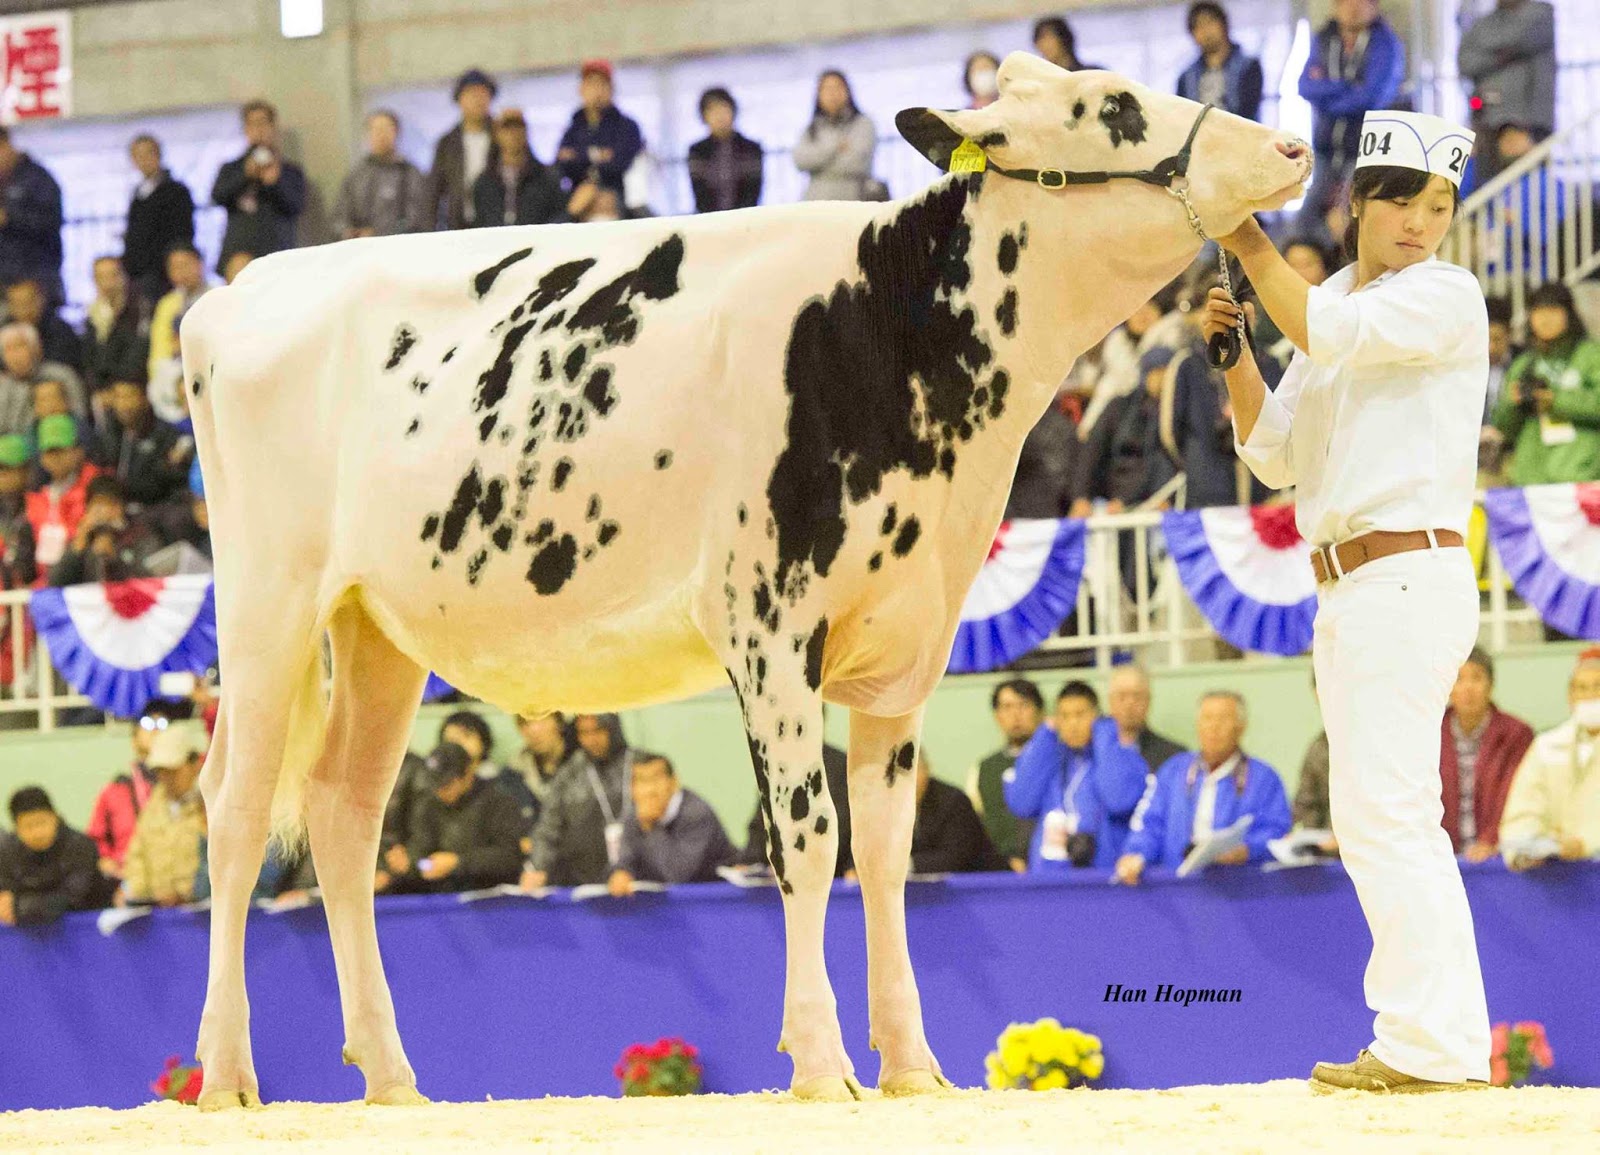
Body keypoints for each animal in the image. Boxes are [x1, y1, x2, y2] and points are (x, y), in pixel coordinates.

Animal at [181, 52, 1309, 1109]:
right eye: (1113, 105)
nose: (1291, 147)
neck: (892, 334)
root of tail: (239, 289)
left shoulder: (910, 637)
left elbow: (886, 850)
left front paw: (912, 1066)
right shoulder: (769, 625)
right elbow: (808, 839)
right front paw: (820, 1062)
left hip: (376, 628)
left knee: (343, 814)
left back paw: (390, 1078)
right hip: (265, 601)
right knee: (234, 811)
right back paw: (226, 1074)